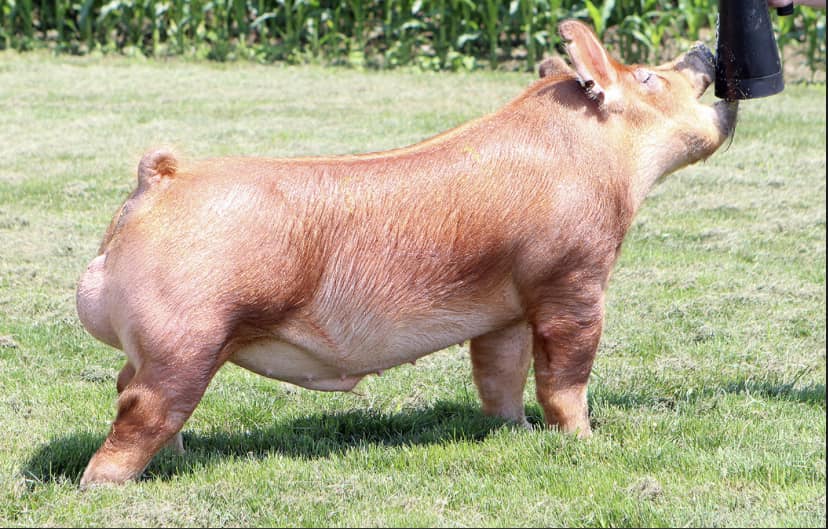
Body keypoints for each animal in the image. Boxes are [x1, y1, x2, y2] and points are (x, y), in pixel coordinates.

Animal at [75, 20, 737, 487]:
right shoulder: (572, 277)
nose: (704, 48)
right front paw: (585, 443)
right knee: (138, 408)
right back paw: (102, 489)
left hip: (161, 344)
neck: (597, 161)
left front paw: (514, 431)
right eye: (647, 76)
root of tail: (160, 180)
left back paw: (175, 459)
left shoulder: (505, 309)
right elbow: (564, 376)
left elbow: (499, 375)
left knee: (125, 382)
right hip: (186, 336)